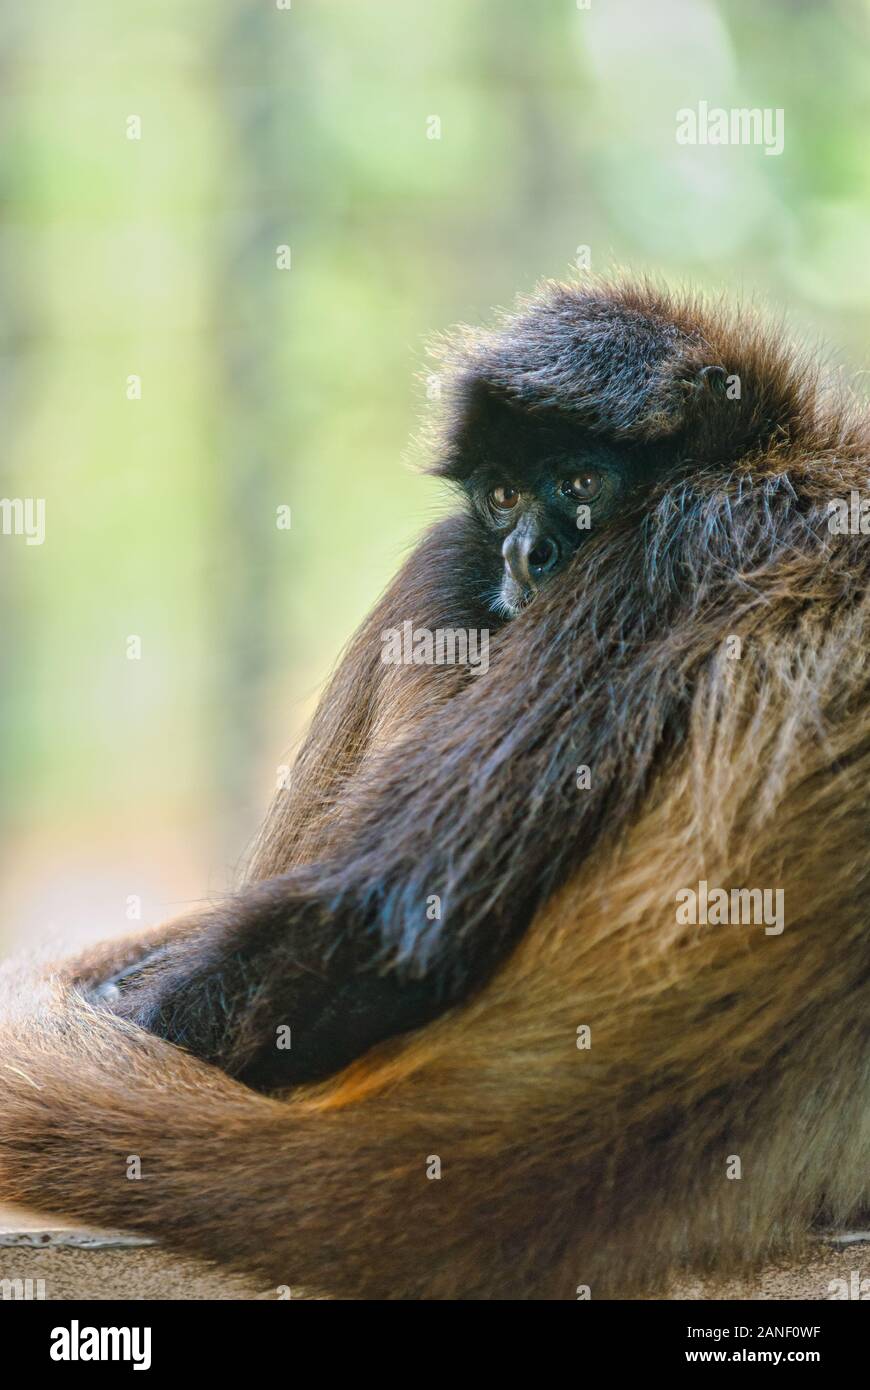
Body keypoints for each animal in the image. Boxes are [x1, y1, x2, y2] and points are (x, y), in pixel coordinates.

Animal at [0, 279, 867, 1300]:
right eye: (503, 494)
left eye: (581, 485)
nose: (525, 555)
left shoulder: (671, 536)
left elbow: (393, 913)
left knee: (443, 565)